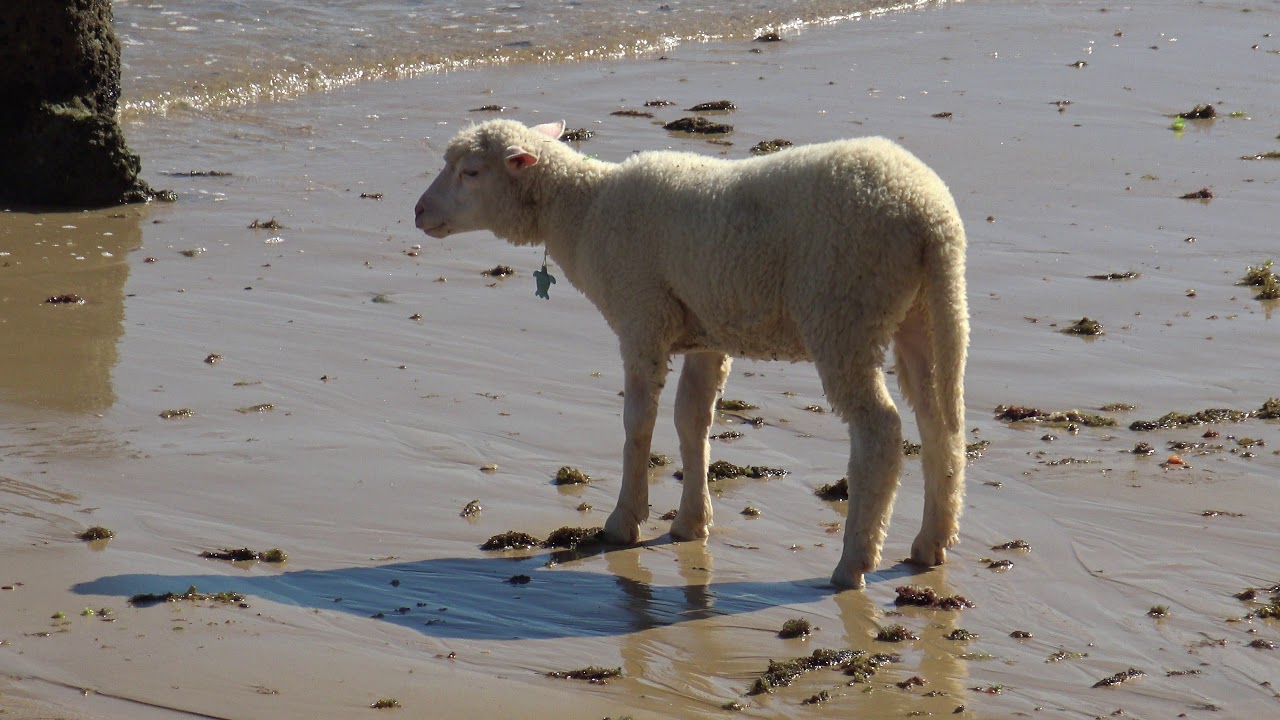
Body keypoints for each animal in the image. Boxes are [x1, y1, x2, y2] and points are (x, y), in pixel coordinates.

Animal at [414, 118, 968, 590]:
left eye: (470, 172)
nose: (418, 212)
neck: (584, 210)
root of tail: (930, 215)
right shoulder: (707, 333)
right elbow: (691, 420)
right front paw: (690, 522)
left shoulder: (642, 316)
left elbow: (638, 422)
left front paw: (624, 522)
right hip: (921, 308)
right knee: (939, 420)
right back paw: (930, 543)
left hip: (844, 306)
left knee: (880, 432)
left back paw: (853, 563)